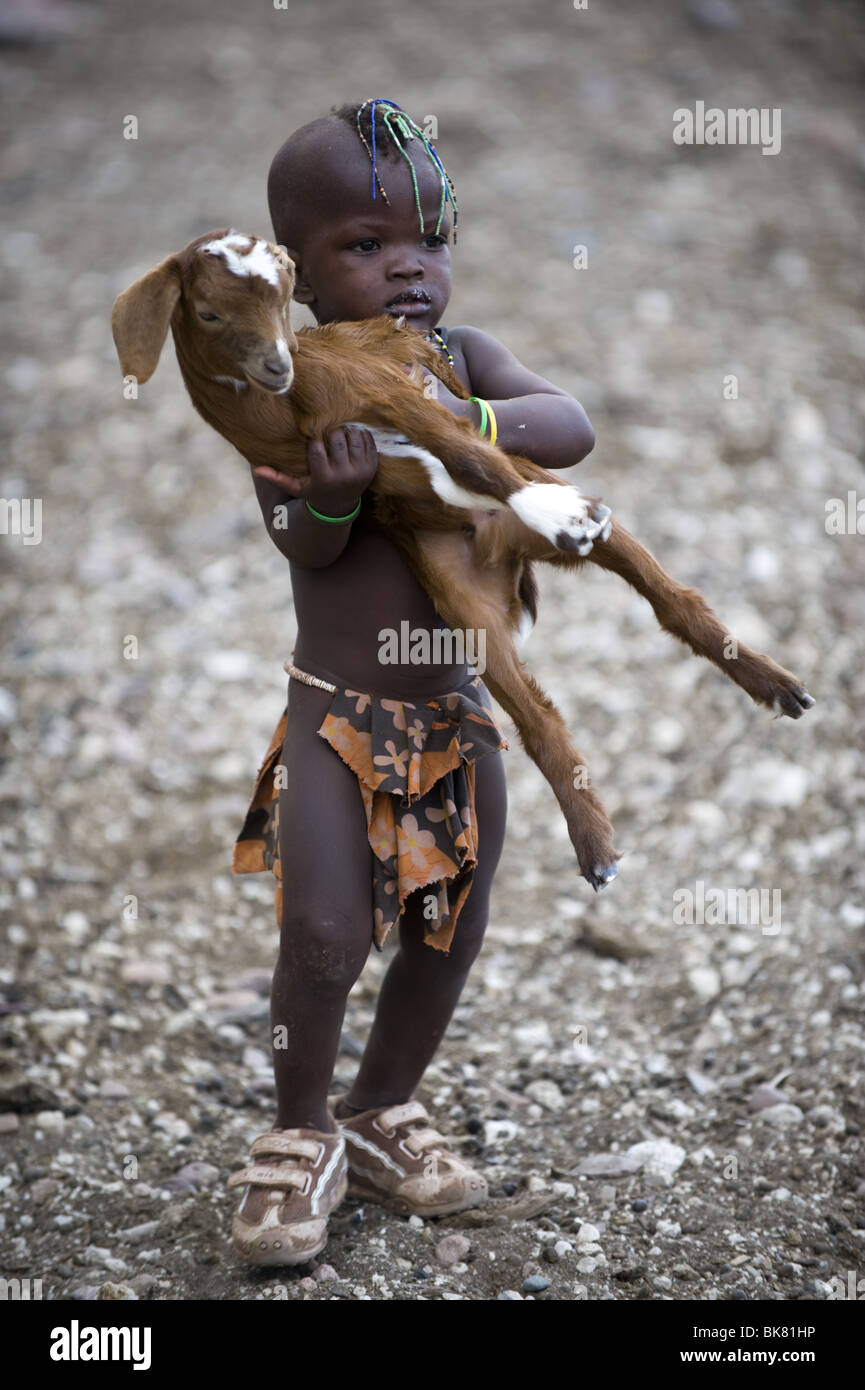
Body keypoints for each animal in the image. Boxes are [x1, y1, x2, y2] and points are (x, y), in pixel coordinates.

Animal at [112, 228, 815, 890]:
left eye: (284, 299)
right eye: (209, 313)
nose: (277, 364)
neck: (289, 406)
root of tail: (501, 551)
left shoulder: (384, 390)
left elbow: (470, 452)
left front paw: (557, 512)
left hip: (563, 519)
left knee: (670, 597)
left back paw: (771, 682)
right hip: (464, 606)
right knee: (537, 718)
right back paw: (596, 846)